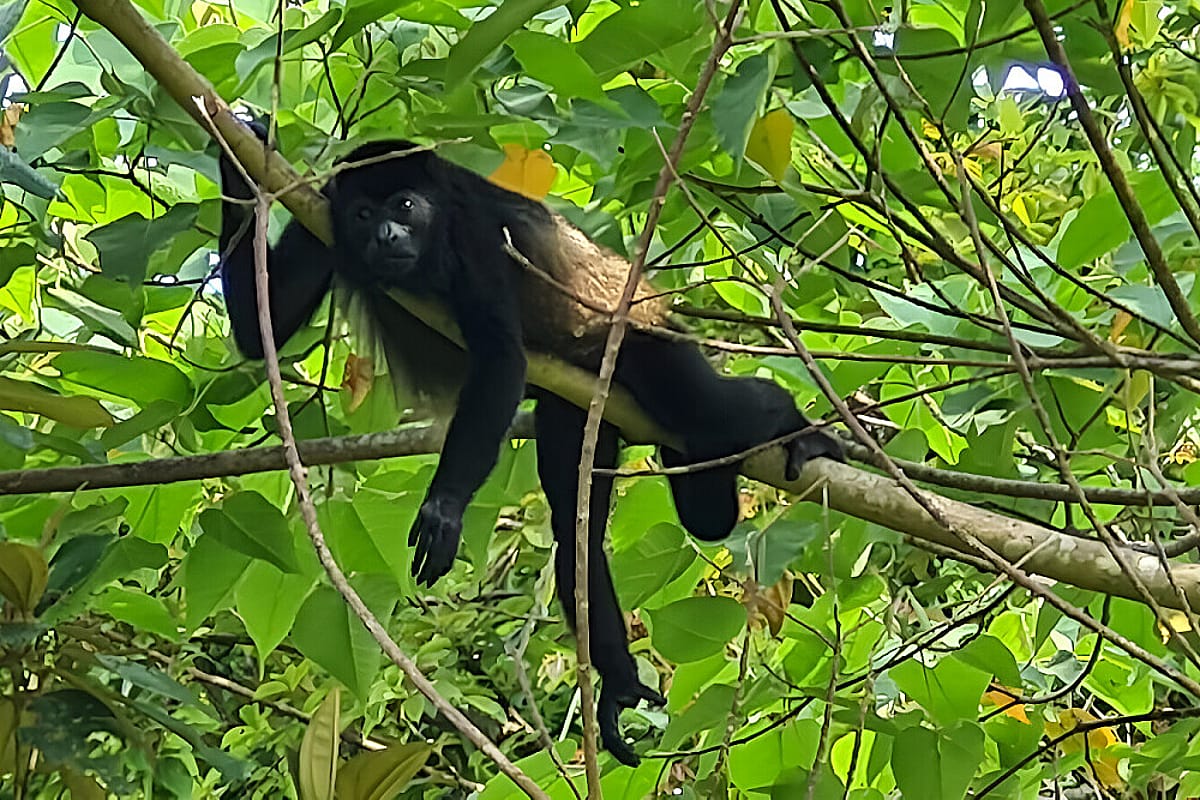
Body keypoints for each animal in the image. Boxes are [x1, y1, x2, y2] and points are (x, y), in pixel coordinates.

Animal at [218, 126, 842, 765]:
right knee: (576, 529)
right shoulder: (318, 217)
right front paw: (239, 155)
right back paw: (616, 681)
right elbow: (258, 327)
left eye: (405, 206)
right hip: (578, 415)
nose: (387, 235)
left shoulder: (478, 236)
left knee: (707, 408)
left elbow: (500, 359)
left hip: (645, 346)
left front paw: (444, 509)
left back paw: (802, 429)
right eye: (364, 214)